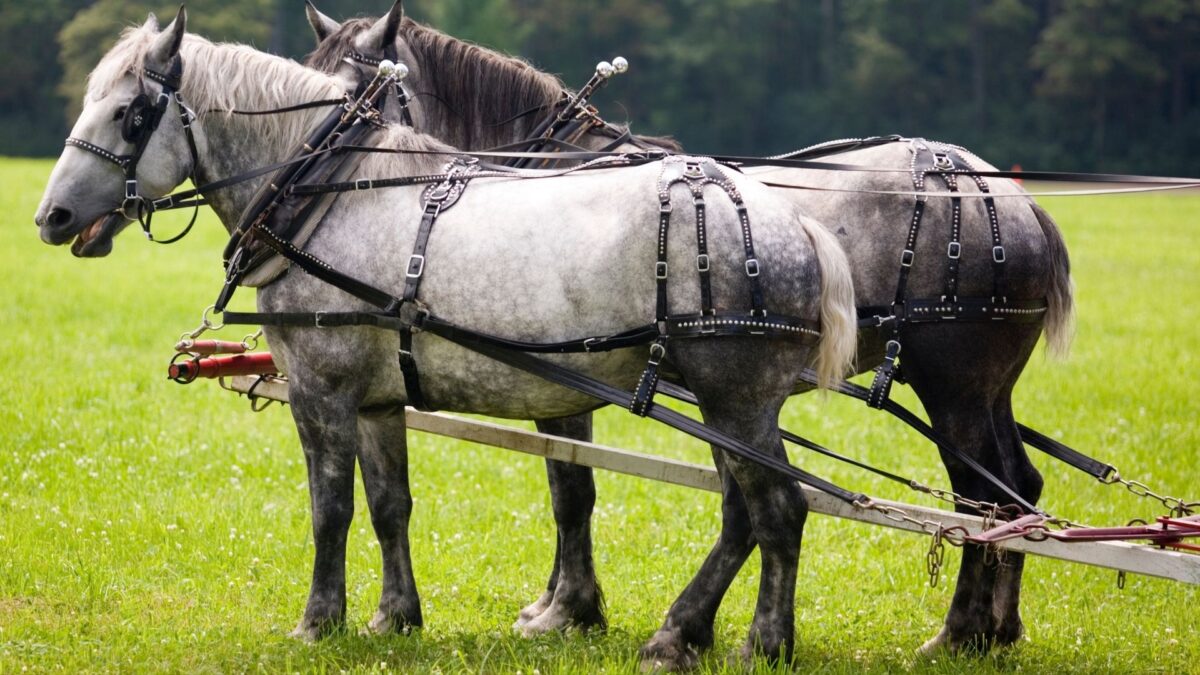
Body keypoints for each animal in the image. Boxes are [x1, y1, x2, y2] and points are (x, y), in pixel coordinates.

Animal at [33, 9, 857, 668]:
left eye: (129, 113)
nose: (51, 217)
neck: (330, 192)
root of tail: (790, 220)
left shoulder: (320, 390)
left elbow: (330, 507)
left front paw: (318, 622)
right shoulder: (376, 400)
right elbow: (388, 503)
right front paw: (394, 616)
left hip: (734, 400)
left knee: (777, 511)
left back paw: (759, 641)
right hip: (728, 406)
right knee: (749, 510)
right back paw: (690, 632)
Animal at [303, 1, 1076, 662]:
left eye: (361, 93)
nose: (311, 170)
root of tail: (1010, 197)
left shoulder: (561, 379)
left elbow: (572, 489)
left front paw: (568, 608)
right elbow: (575, 487)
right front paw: (566, 605)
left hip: (948, 388)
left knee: (979, 495)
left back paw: (959, 630)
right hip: (985, 391)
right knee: (1019, 486)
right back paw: (1000, 625)